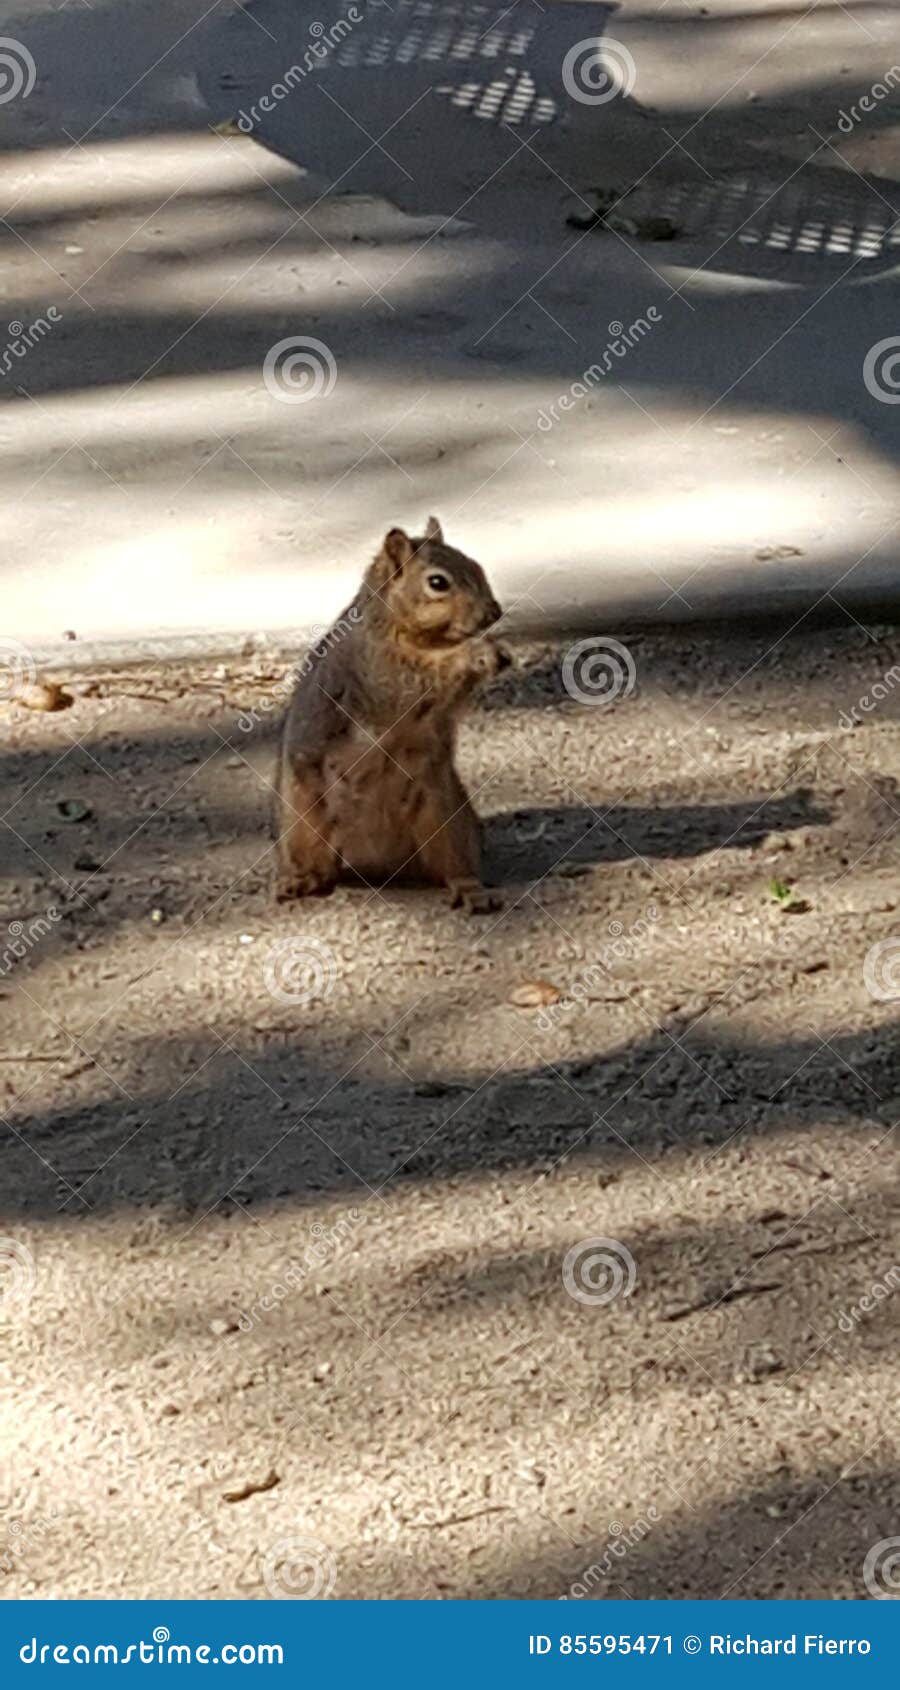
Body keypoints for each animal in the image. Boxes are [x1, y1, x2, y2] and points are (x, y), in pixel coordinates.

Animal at [274, 516, 509, 914]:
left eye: (476, 565)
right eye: (437, 583)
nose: (494, 613)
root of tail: (376, 861)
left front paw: (496, 652)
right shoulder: (377, 669)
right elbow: (417, 680)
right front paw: (474, 652)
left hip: (449, 820)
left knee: (453, 868)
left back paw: (471, 890)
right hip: (303, 820)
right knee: (318, 868)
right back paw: (298, 881)